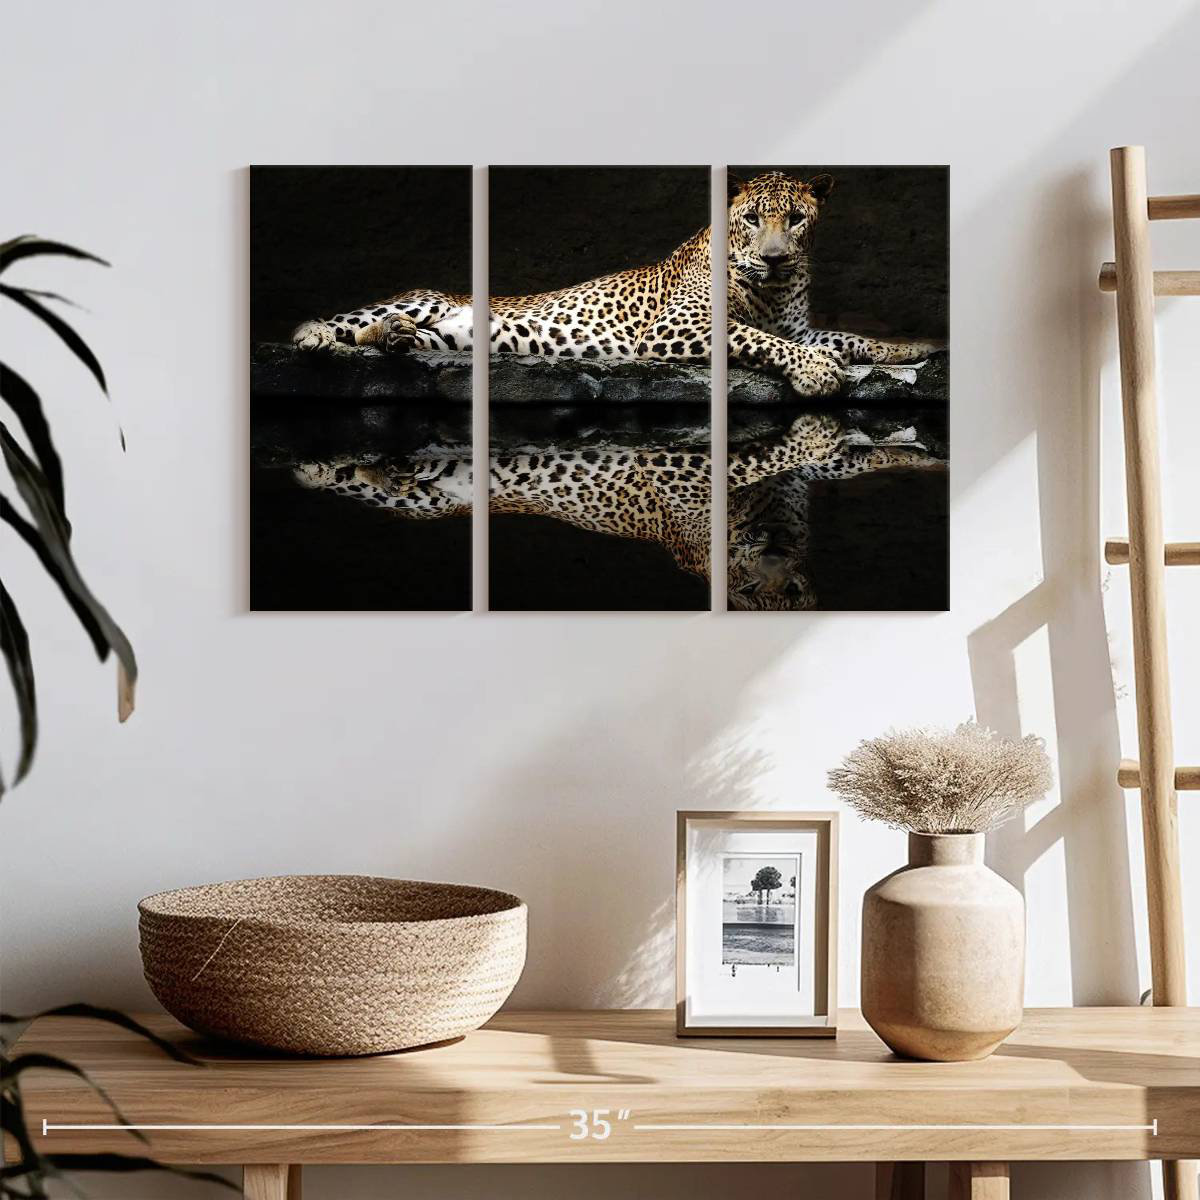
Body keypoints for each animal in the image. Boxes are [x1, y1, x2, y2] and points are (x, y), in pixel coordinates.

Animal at [290, 171, 936, 395]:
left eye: (796, 219)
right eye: (753, 219)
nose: (776, 259)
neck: (773, 289)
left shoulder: (800, 326)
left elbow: (845, 337)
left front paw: (912, 348)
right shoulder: (679, 327)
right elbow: (762, 340)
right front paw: (817, 373)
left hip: (455, 336)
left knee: (392, 335)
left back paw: (393, 338)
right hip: (421, 299)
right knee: (342, 322)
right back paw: (320, 337)